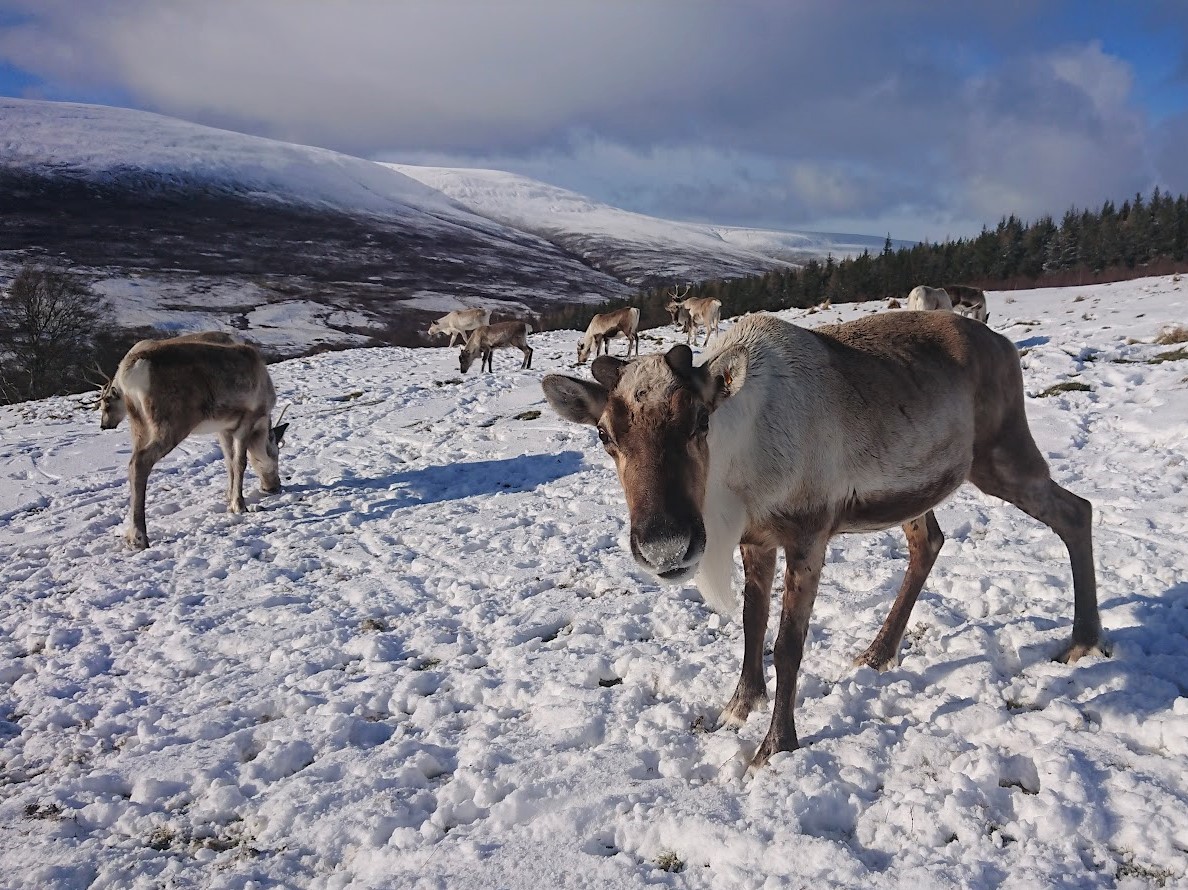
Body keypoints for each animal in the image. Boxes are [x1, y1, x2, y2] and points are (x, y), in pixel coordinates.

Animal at [97, 332, 288, 550]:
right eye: (276, 453)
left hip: (138, 424)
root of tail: (129, 370)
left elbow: (229, 462)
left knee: (132, 461)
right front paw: (239, 505)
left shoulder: (223, 428)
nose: (274, 486)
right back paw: (139, 536)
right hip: (172, 422)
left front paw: (229, 498)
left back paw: (130, 536)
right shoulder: (246, 420)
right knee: (140, 461)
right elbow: (240, 463)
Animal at [542, 311, 1105, 771]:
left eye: (700, 420)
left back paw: (1082, 641)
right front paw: (737, 709)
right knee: (929, 541)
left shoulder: (808, 534)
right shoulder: (756, 539)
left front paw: (772, 749)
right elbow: (751, 624)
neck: (735, 467)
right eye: (604, 435)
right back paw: (877, 654)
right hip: (922, 491)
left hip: (1003, 454)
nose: (665, 545)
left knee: (1077, 511)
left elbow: (788, 644)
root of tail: (1004, 344)